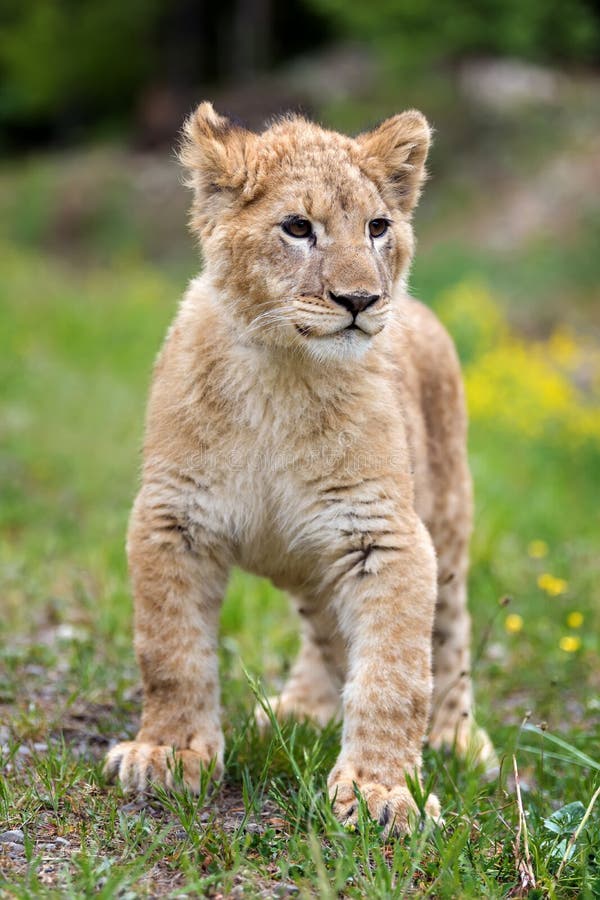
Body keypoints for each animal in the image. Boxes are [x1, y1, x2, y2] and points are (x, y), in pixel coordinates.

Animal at [104, 102, 495, 836]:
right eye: (296, 227)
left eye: (377, 227)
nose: (361, 300)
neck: (282, 373)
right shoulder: (173, 520)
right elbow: (170, 653)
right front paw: (168, 753)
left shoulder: (386, 536)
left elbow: (394, 675)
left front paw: (380, 793)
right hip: (312, 561)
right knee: (325, 630)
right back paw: (303, 712)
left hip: (450, 522)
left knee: (450, 636)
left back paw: (456, 738)